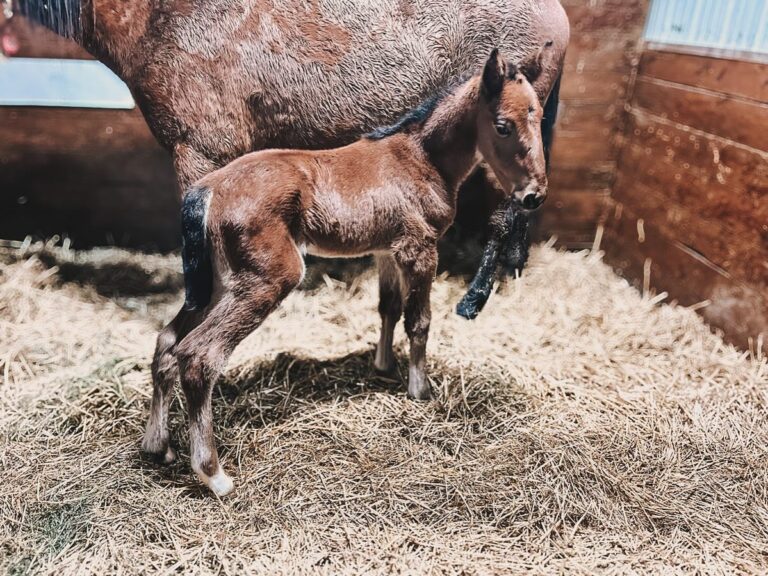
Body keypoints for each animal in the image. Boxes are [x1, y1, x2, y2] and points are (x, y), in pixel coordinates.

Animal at [140, 47, 549, 496]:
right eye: (503, 126)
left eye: (539, 117)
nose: (534, 195)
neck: (421, 158)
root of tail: (208, 188)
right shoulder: (419, 249)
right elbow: (419, 320)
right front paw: (421, 391)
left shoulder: (387, 251)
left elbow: (388, 308)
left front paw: (384, 367)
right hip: (265, 280)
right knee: (199, 355)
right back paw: (215, 476)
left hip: (216, 282)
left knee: (167, 341)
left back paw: (158, 447)